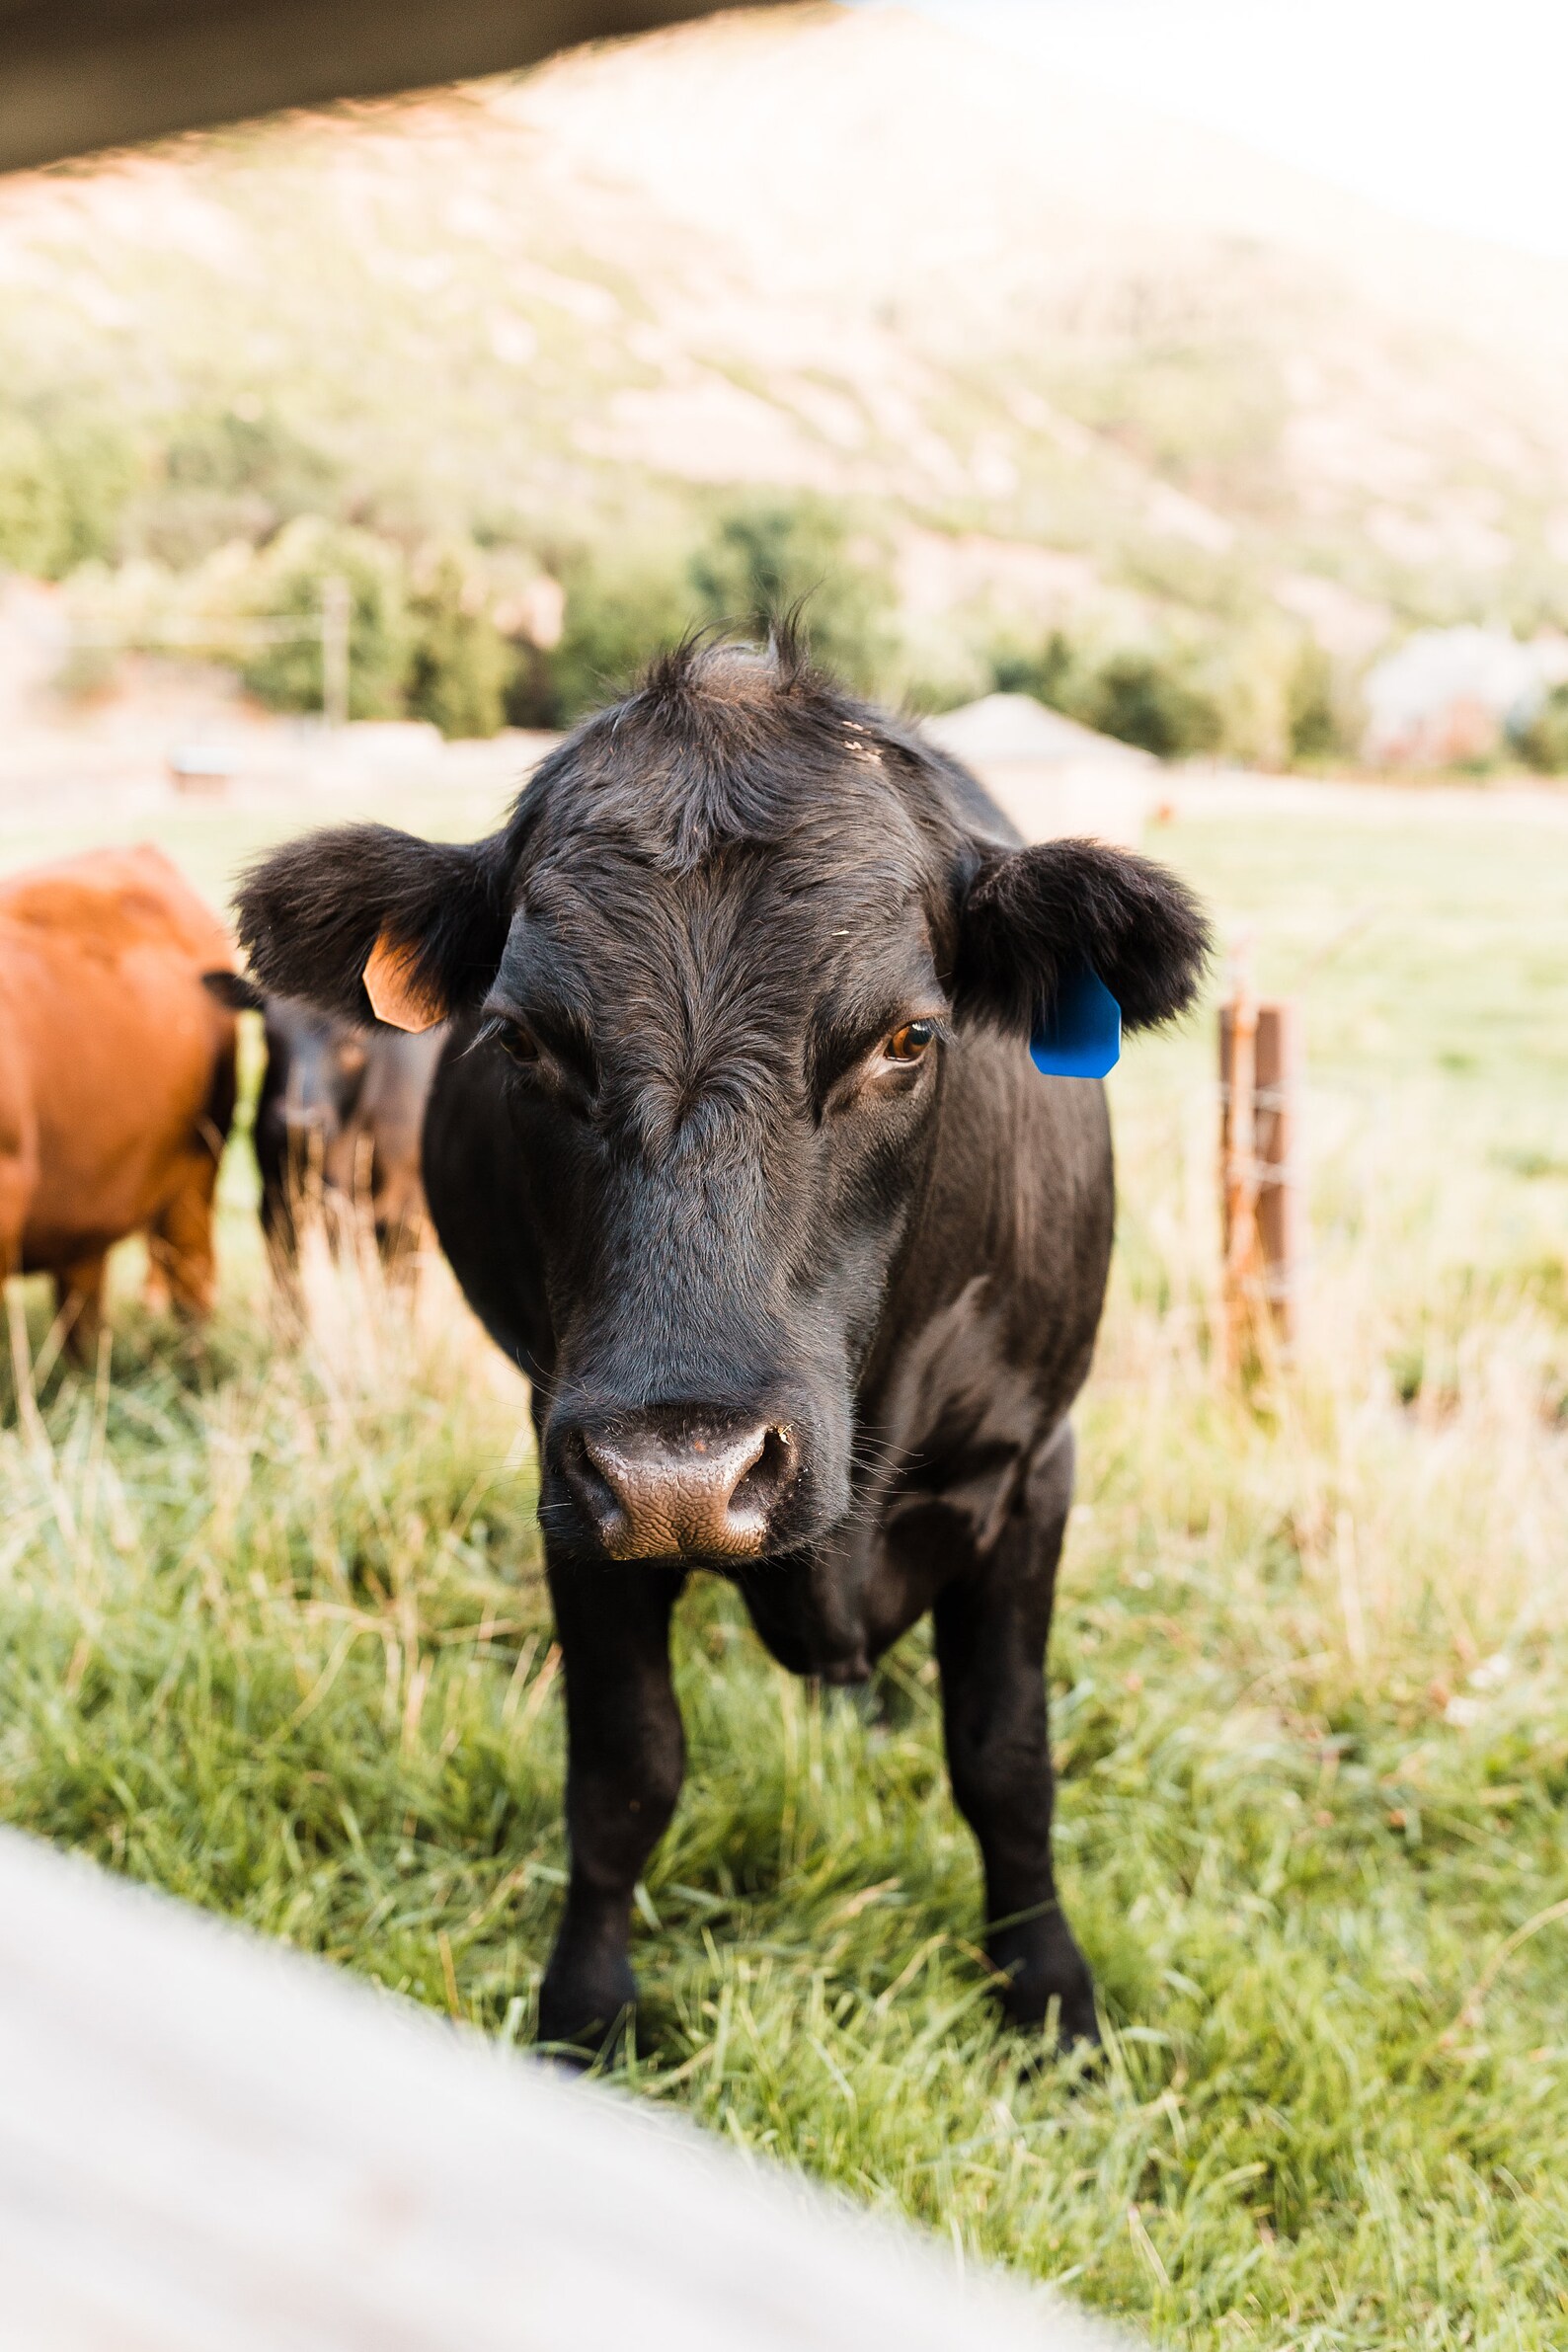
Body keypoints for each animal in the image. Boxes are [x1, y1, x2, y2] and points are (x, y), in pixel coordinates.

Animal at [234, 637, 1208, 2052]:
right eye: (521, 1039)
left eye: (907, 1037)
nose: (682, 1475)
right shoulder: (568, 1480)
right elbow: (625, 1768)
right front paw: (585, 2007)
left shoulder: (1031, 1462)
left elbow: (1005, 1759)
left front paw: (1047, 1992)